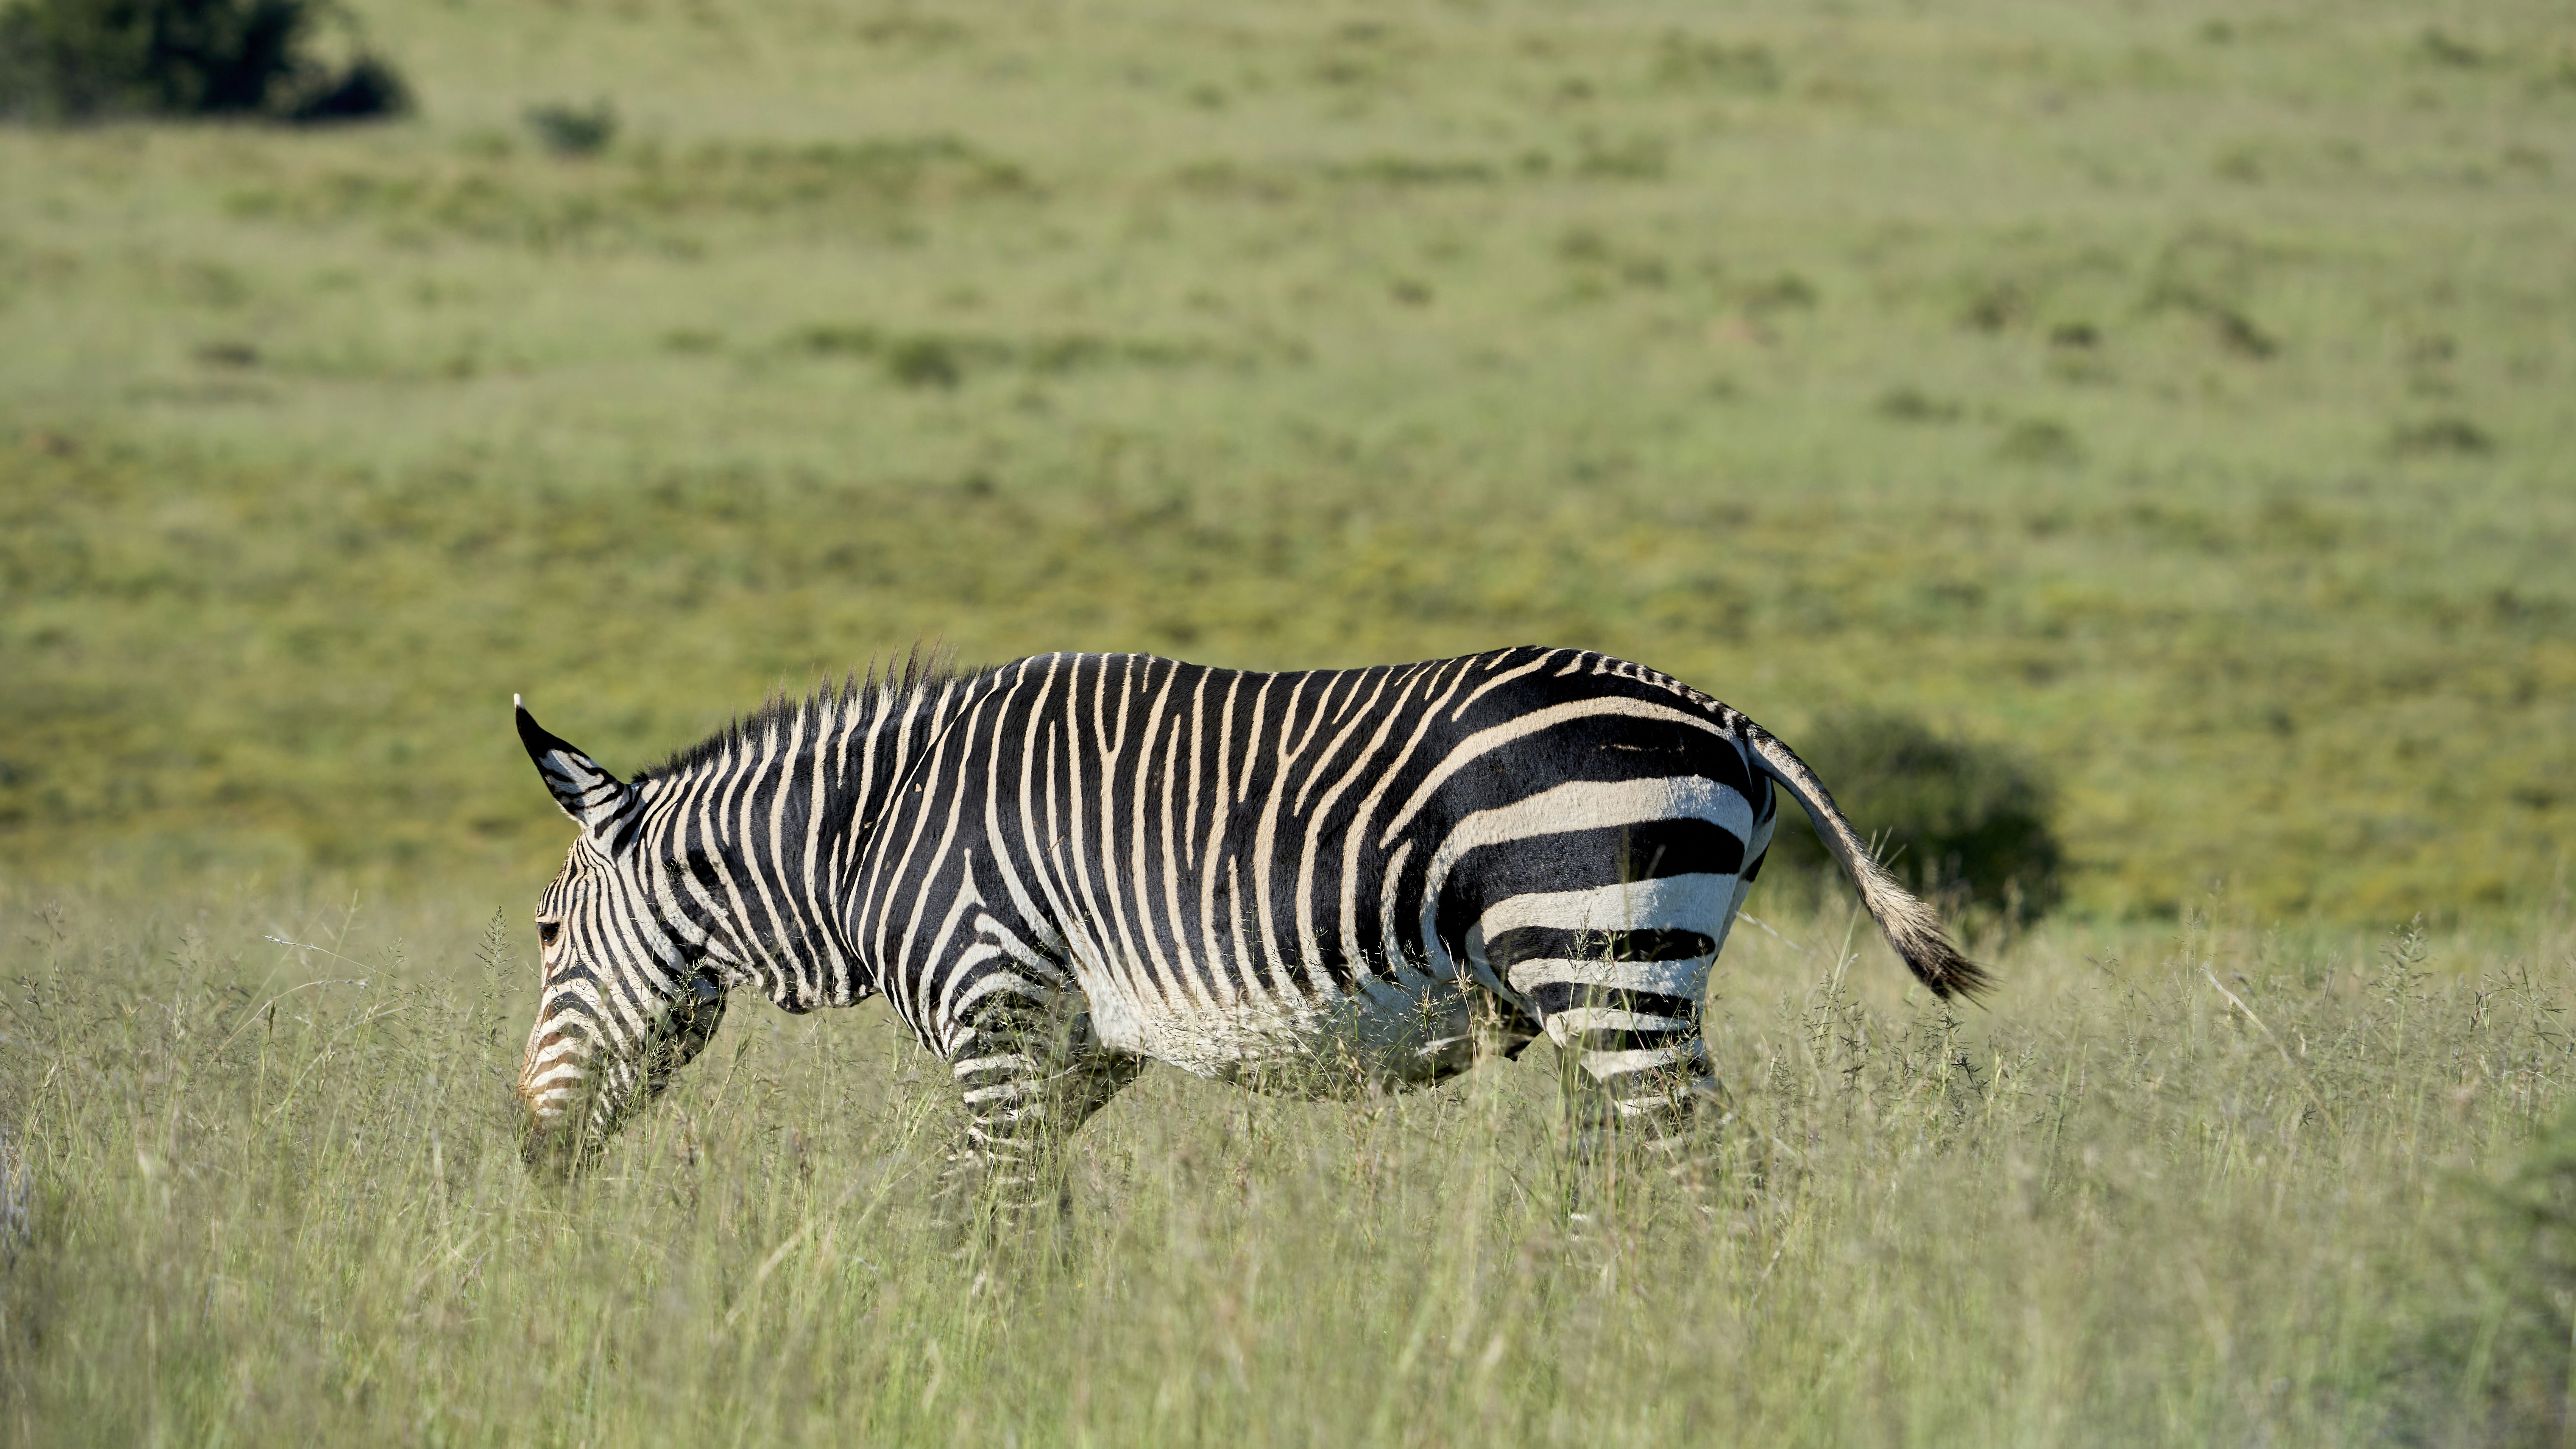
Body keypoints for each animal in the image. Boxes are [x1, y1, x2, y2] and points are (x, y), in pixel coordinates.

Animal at [511, 647, 1988, 1220]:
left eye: (542, 932)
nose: (528, 1158)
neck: (866, 836)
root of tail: (1717, 710)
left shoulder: (997, 1013)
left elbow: (993, 1215)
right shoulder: (1076, 1046)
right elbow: (1001, 1208)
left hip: (1606, 962)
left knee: (1716, 1181)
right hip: (1610, 984)